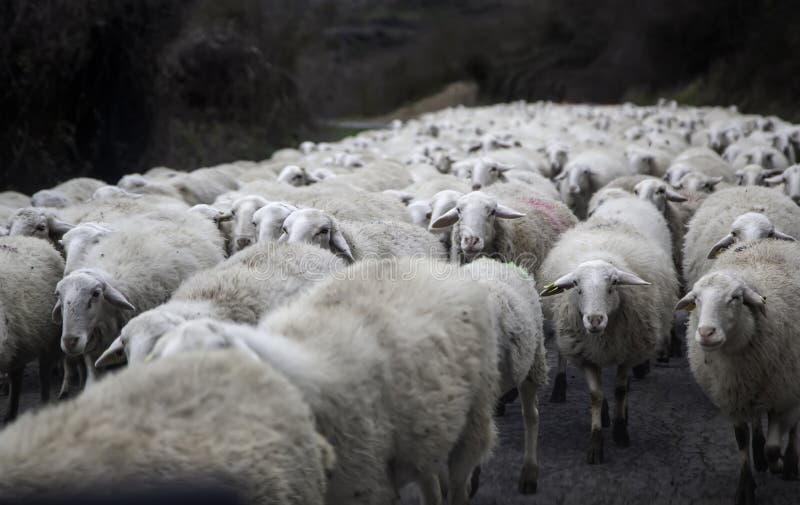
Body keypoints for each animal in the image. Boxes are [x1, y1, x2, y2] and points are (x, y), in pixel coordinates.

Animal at [150, 257, 500, 505]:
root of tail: (432, 262)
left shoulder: (364, 487)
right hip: (427, 430)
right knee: (429, 476)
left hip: (475, 415)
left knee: (459, 480)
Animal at [538, 219, 679, 462]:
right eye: (576, 286)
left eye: (613, 285)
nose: (595, 319)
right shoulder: (587, 356)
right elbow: (595, 395)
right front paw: (596, 443)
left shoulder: (628, 354)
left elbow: (620, 391)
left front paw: (621, 431)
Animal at [677, 240, 800, 504]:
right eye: (696, 300)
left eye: (735, 298)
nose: (706, 333)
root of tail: (769, 241)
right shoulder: (733, 398)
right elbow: (742, 439)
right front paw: (745, 488)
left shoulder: (786, 394)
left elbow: (774, 447)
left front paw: (778, 463)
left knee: (794, 428)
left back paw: (789, 464)